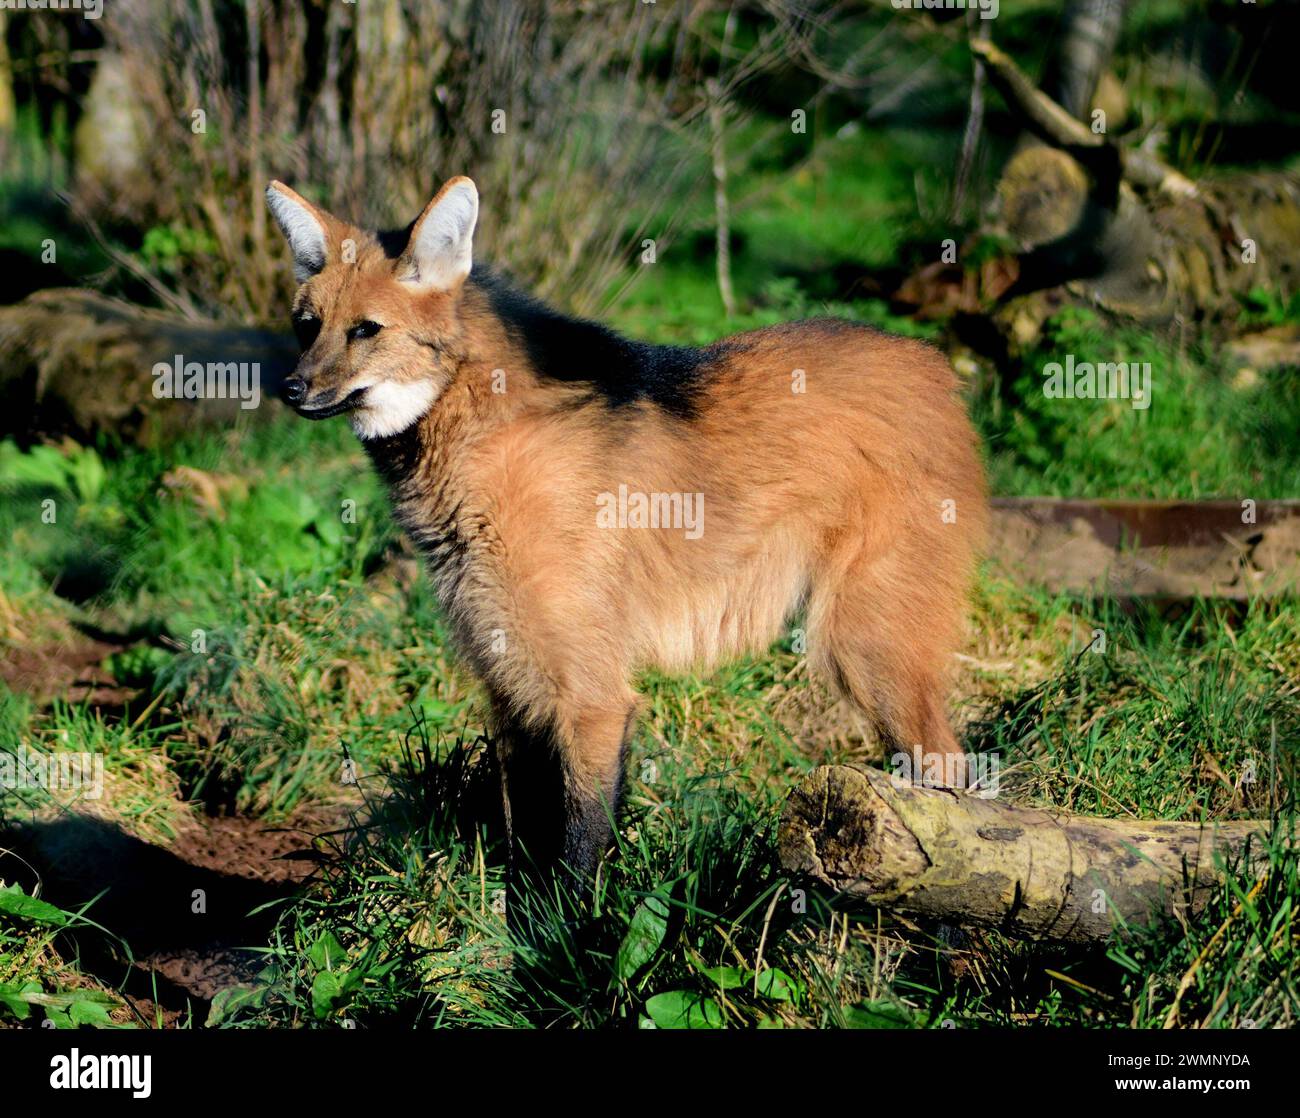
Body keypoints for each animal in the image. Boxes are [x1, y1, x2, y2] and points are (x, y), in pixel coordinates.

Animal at [265, 174, 987, 898]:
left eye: (366, 330)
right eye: (308, 326)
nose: (290, 389)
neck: (478, 439)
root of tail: (934, 363)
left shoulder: (591, 698)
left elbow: (578, 852)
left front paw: (568, 930)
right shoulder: (510, 689)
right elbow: (523, 842)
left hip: (861, 644)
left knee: (948, 770)